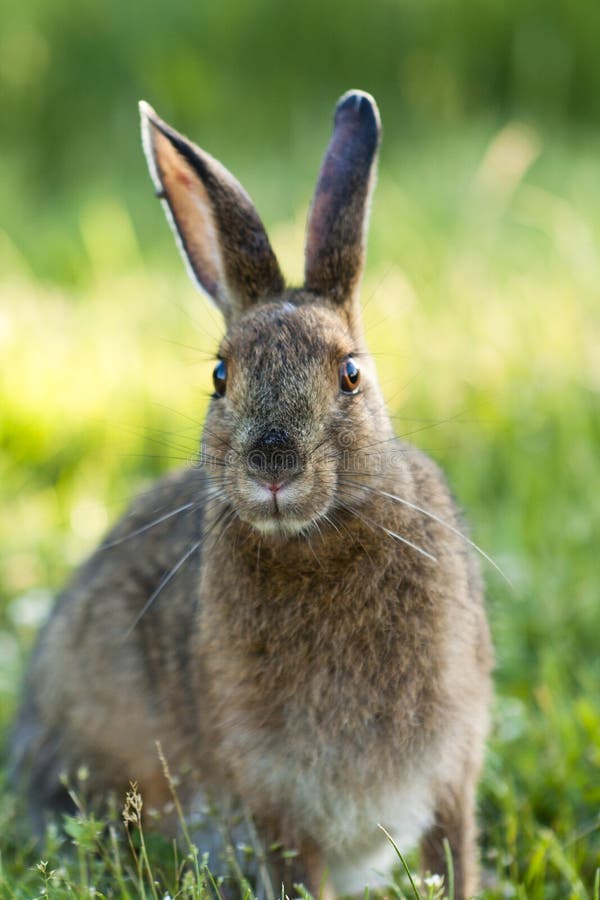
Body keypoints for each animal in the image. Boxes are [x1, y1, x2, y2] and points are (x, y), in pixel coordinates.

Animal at [12, 90, 493, 899]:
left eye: (350, 374)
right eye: (219, 376)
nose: (273, 465)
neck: (316, 538)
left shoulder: (452, 773)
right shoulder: (274, 798)